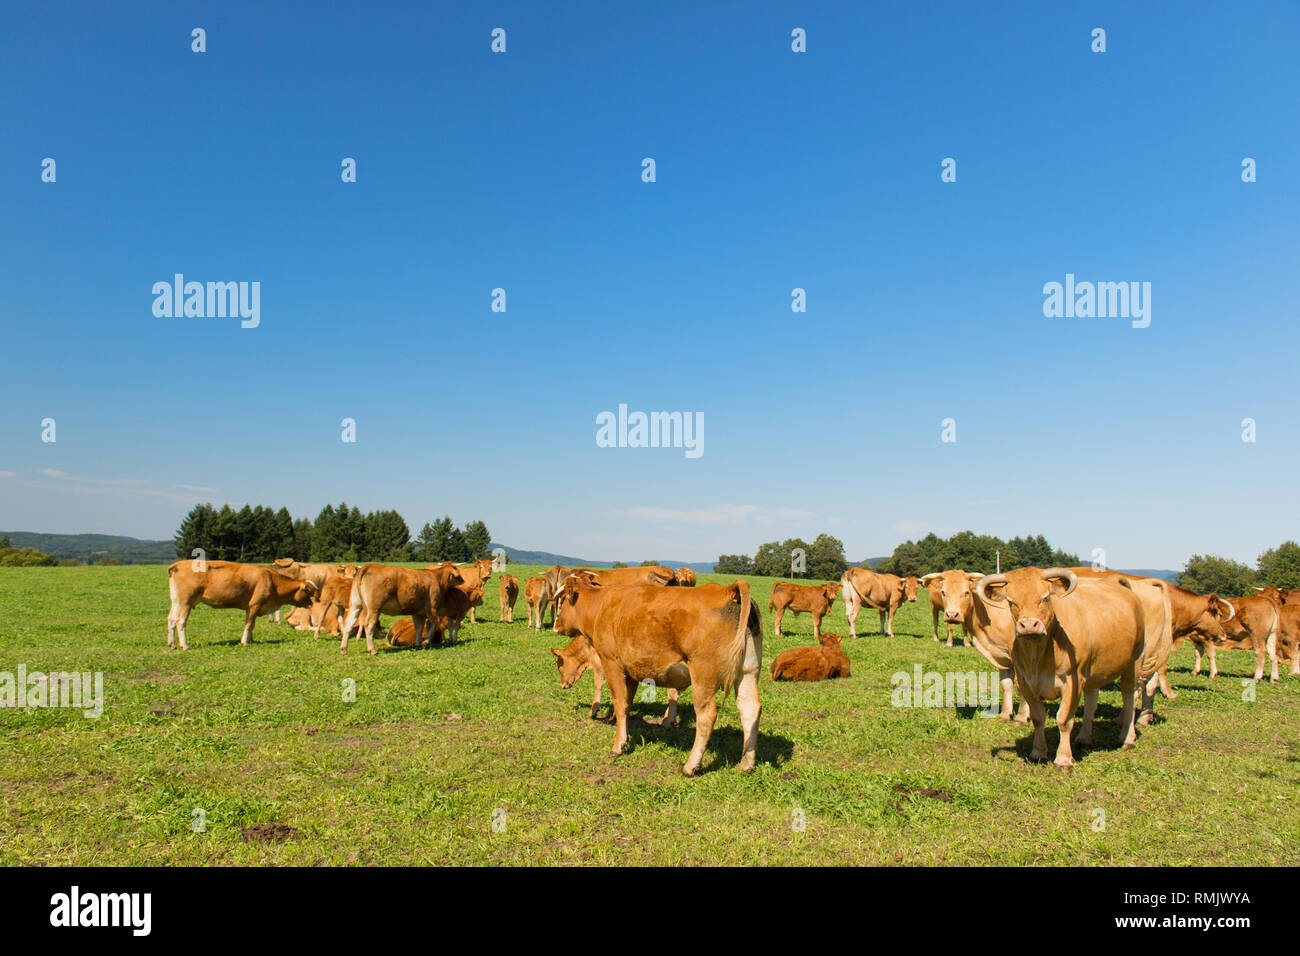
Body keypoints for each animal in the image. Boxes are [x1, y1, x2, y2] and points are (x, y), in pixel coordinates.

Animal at [166, 560, 319, 650]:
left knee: (171, 620)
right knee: (180, 622)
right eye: (307, 592)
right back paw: (185, 645)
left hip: (176, 602)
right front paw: (245, 641)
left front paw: (250, 640)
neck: (272, 581)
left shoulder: (249, 607)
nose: (311, 604)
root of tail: (178, 564)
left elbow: (250, 624)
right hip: (186, 602)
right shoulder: (255, 604)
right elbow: (249, 624)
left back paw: (172, 644)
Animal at [551, 635, 679, 727]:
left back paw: (667, 721)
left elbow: (598, 685)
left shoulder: (601, 664)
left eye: (558, 666)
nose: (562, 685)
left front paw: (593, 712)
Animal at [977, 568, 1144, 769]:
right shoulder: (1026, 683)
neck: (1038, 656)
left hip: (1134, 662)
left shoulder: (1072, 681)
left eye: (1045, 598)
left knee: (1130, 699)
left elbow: (1064, 719)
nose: (1028, 625)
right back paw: (1084, 738)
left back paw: (1128, 738)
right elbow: (1038, 718)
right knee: (1091, 702)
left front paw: (1063, 759)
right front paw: (1038, 752)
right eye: (1011, 602)